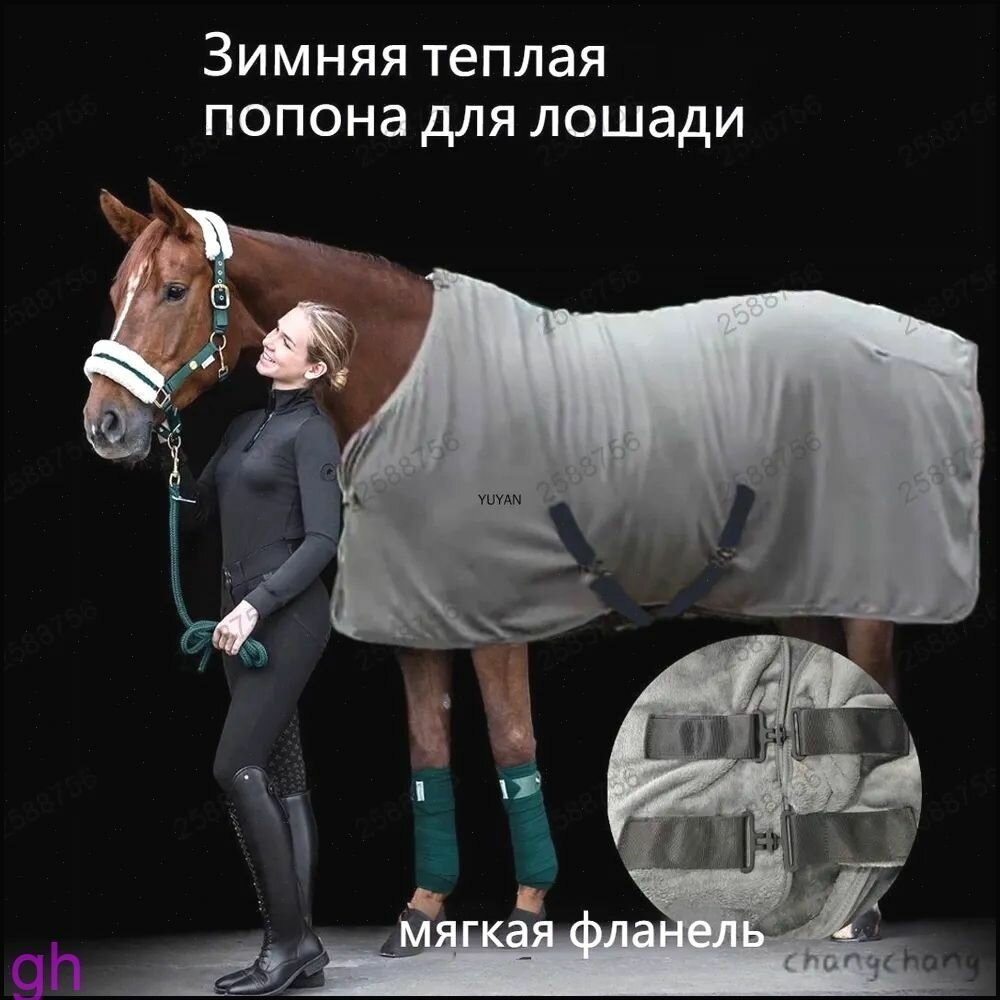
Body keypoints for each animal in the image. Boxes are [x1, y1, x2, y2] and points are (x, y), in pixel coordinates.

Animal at [82, 178, 981, 944]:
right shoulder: (418, 624)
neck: (410, 390)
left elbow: (513, 744)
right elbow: (428, 756)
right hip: (802, 591)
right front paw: (423, 907)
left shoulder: (494, 619)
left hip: (870, 597)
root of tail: (945, 351)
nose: (107, 425)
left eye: (172, 290)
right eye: (116, 291)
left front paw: (528, 904)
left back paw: (862, 911)